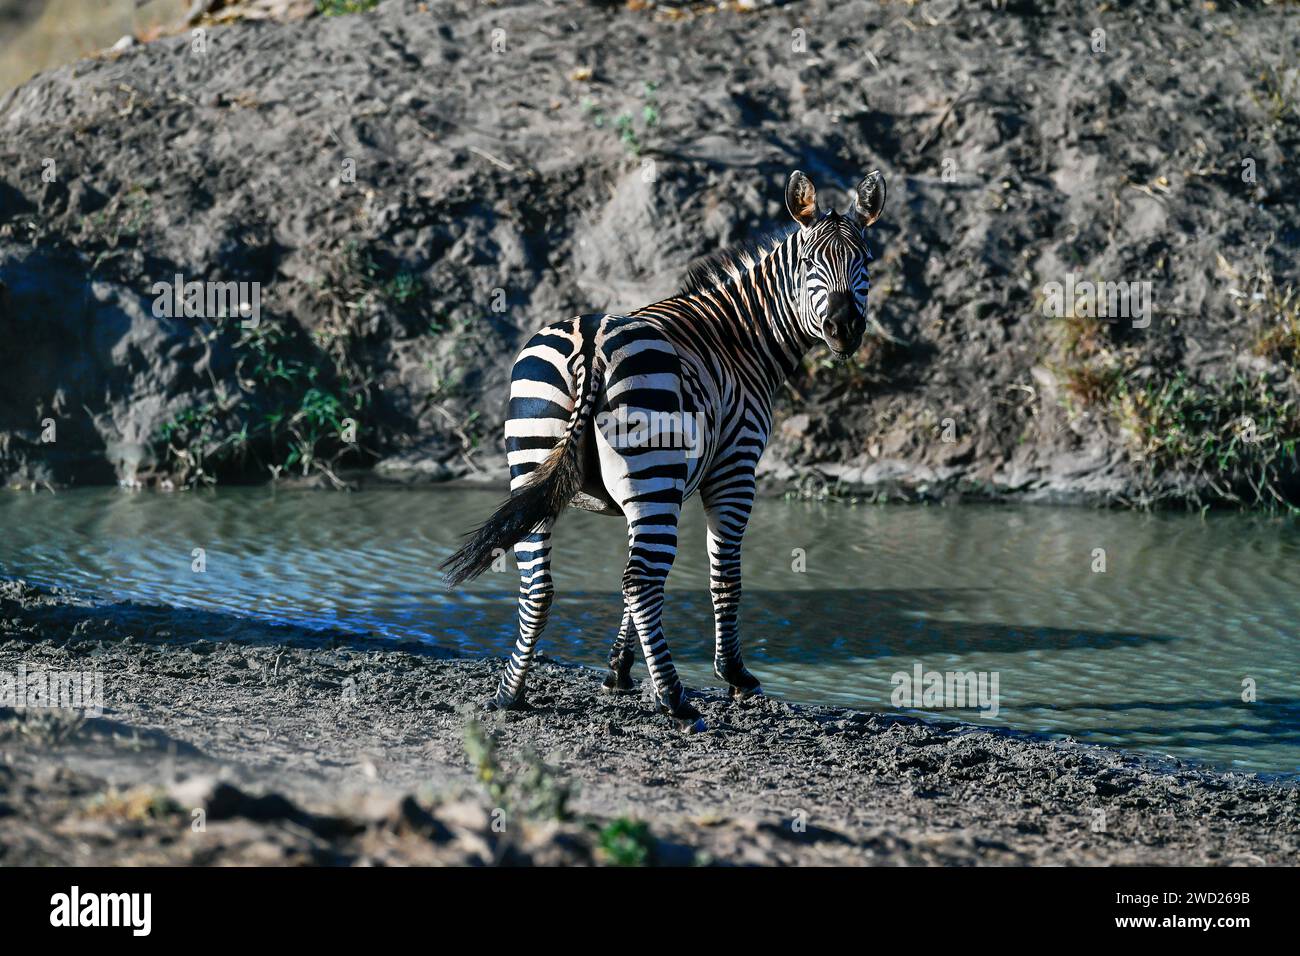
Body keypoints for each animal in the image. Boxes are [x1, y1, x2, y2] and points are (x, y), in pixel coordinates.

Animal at [442, 168, 888, 733]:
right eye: (809, 263)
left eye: (865, 260)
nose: (844, 329)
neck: (739, 339)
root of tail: (589, 340)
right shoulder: (734, 469)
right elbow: (725, 575)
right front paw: (734, 675)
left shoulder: (641, 495)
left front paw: (618, 669)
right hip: (652, 476)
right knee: (640, 581)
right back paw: (676, 701)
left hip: (537, 460)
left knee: (546, 582)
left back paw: (510, 693)